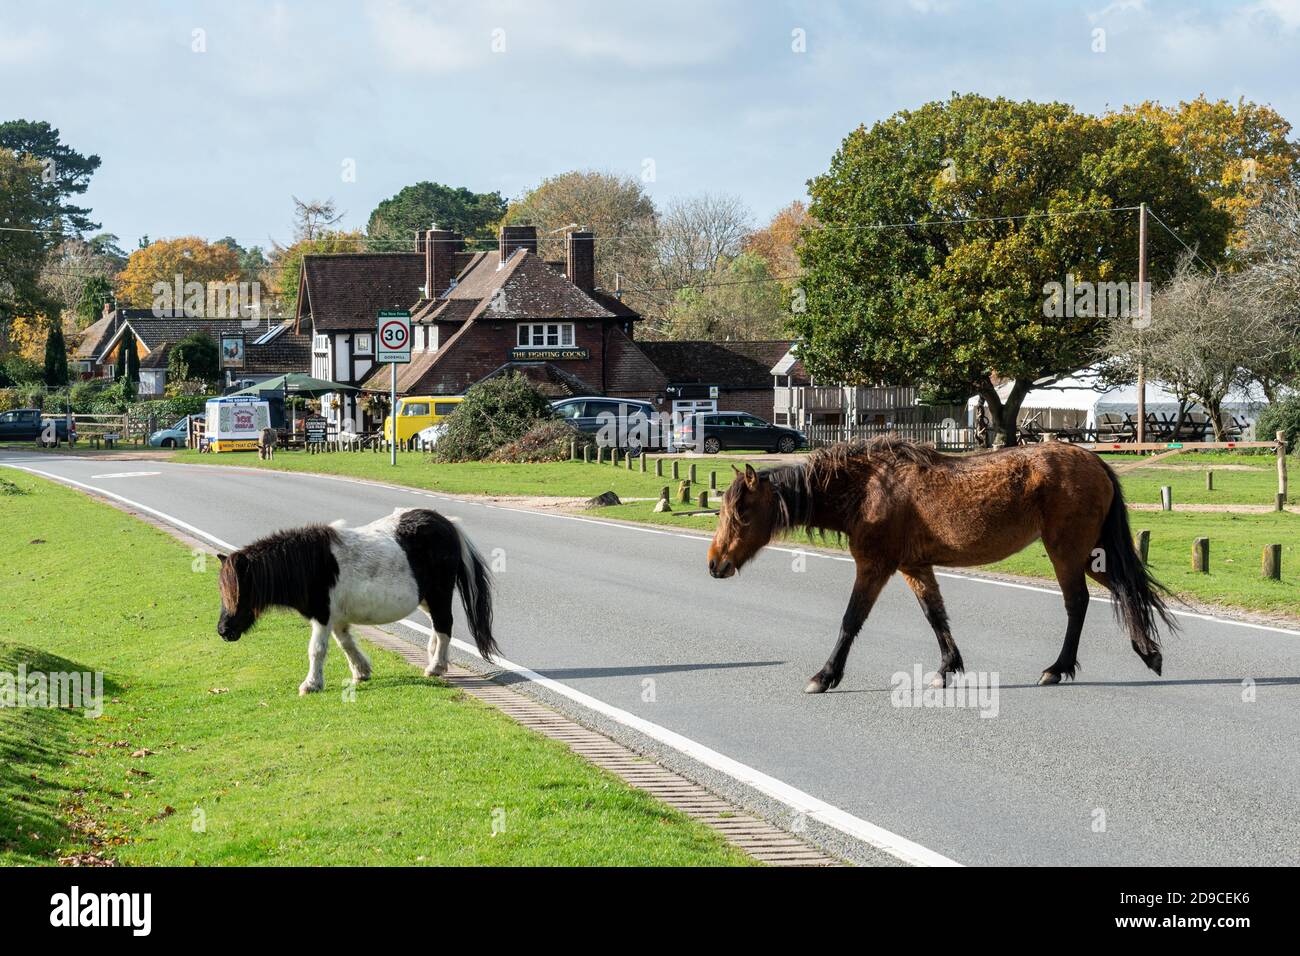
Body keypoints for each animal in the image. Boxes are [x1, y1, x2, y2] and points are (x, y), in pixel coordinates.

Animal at [215, 509, 493, 697]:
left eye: (239, 594)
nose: (223, 631)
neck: (312, 564)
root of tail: (447, 523)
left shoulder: (323, 616)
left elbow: (317, 649)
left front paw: (311, 684)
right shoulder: (336, 618)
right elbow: (346, 644)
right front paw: (361, 671)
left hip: (439, 594)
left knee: (444, 624)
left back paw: (435, 666)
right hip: (426, 598)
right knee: (437, 626)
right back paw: (436, 657)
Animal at [712, 437, 1180, 691]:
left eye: (742, 513)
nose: (715, 564)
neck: (867, 489)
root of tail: (1095, 460)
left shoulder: (873, 567)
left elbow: (850, 621)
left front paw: (825, 676)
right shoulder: (914, 568)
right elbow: (935, 616)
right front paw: (947, 668)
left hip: (1069, 552)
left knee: (1079, 603)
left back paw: (1059, 668)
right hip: (1090, 554)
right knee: (1124, 589)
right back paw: (1148, 652)